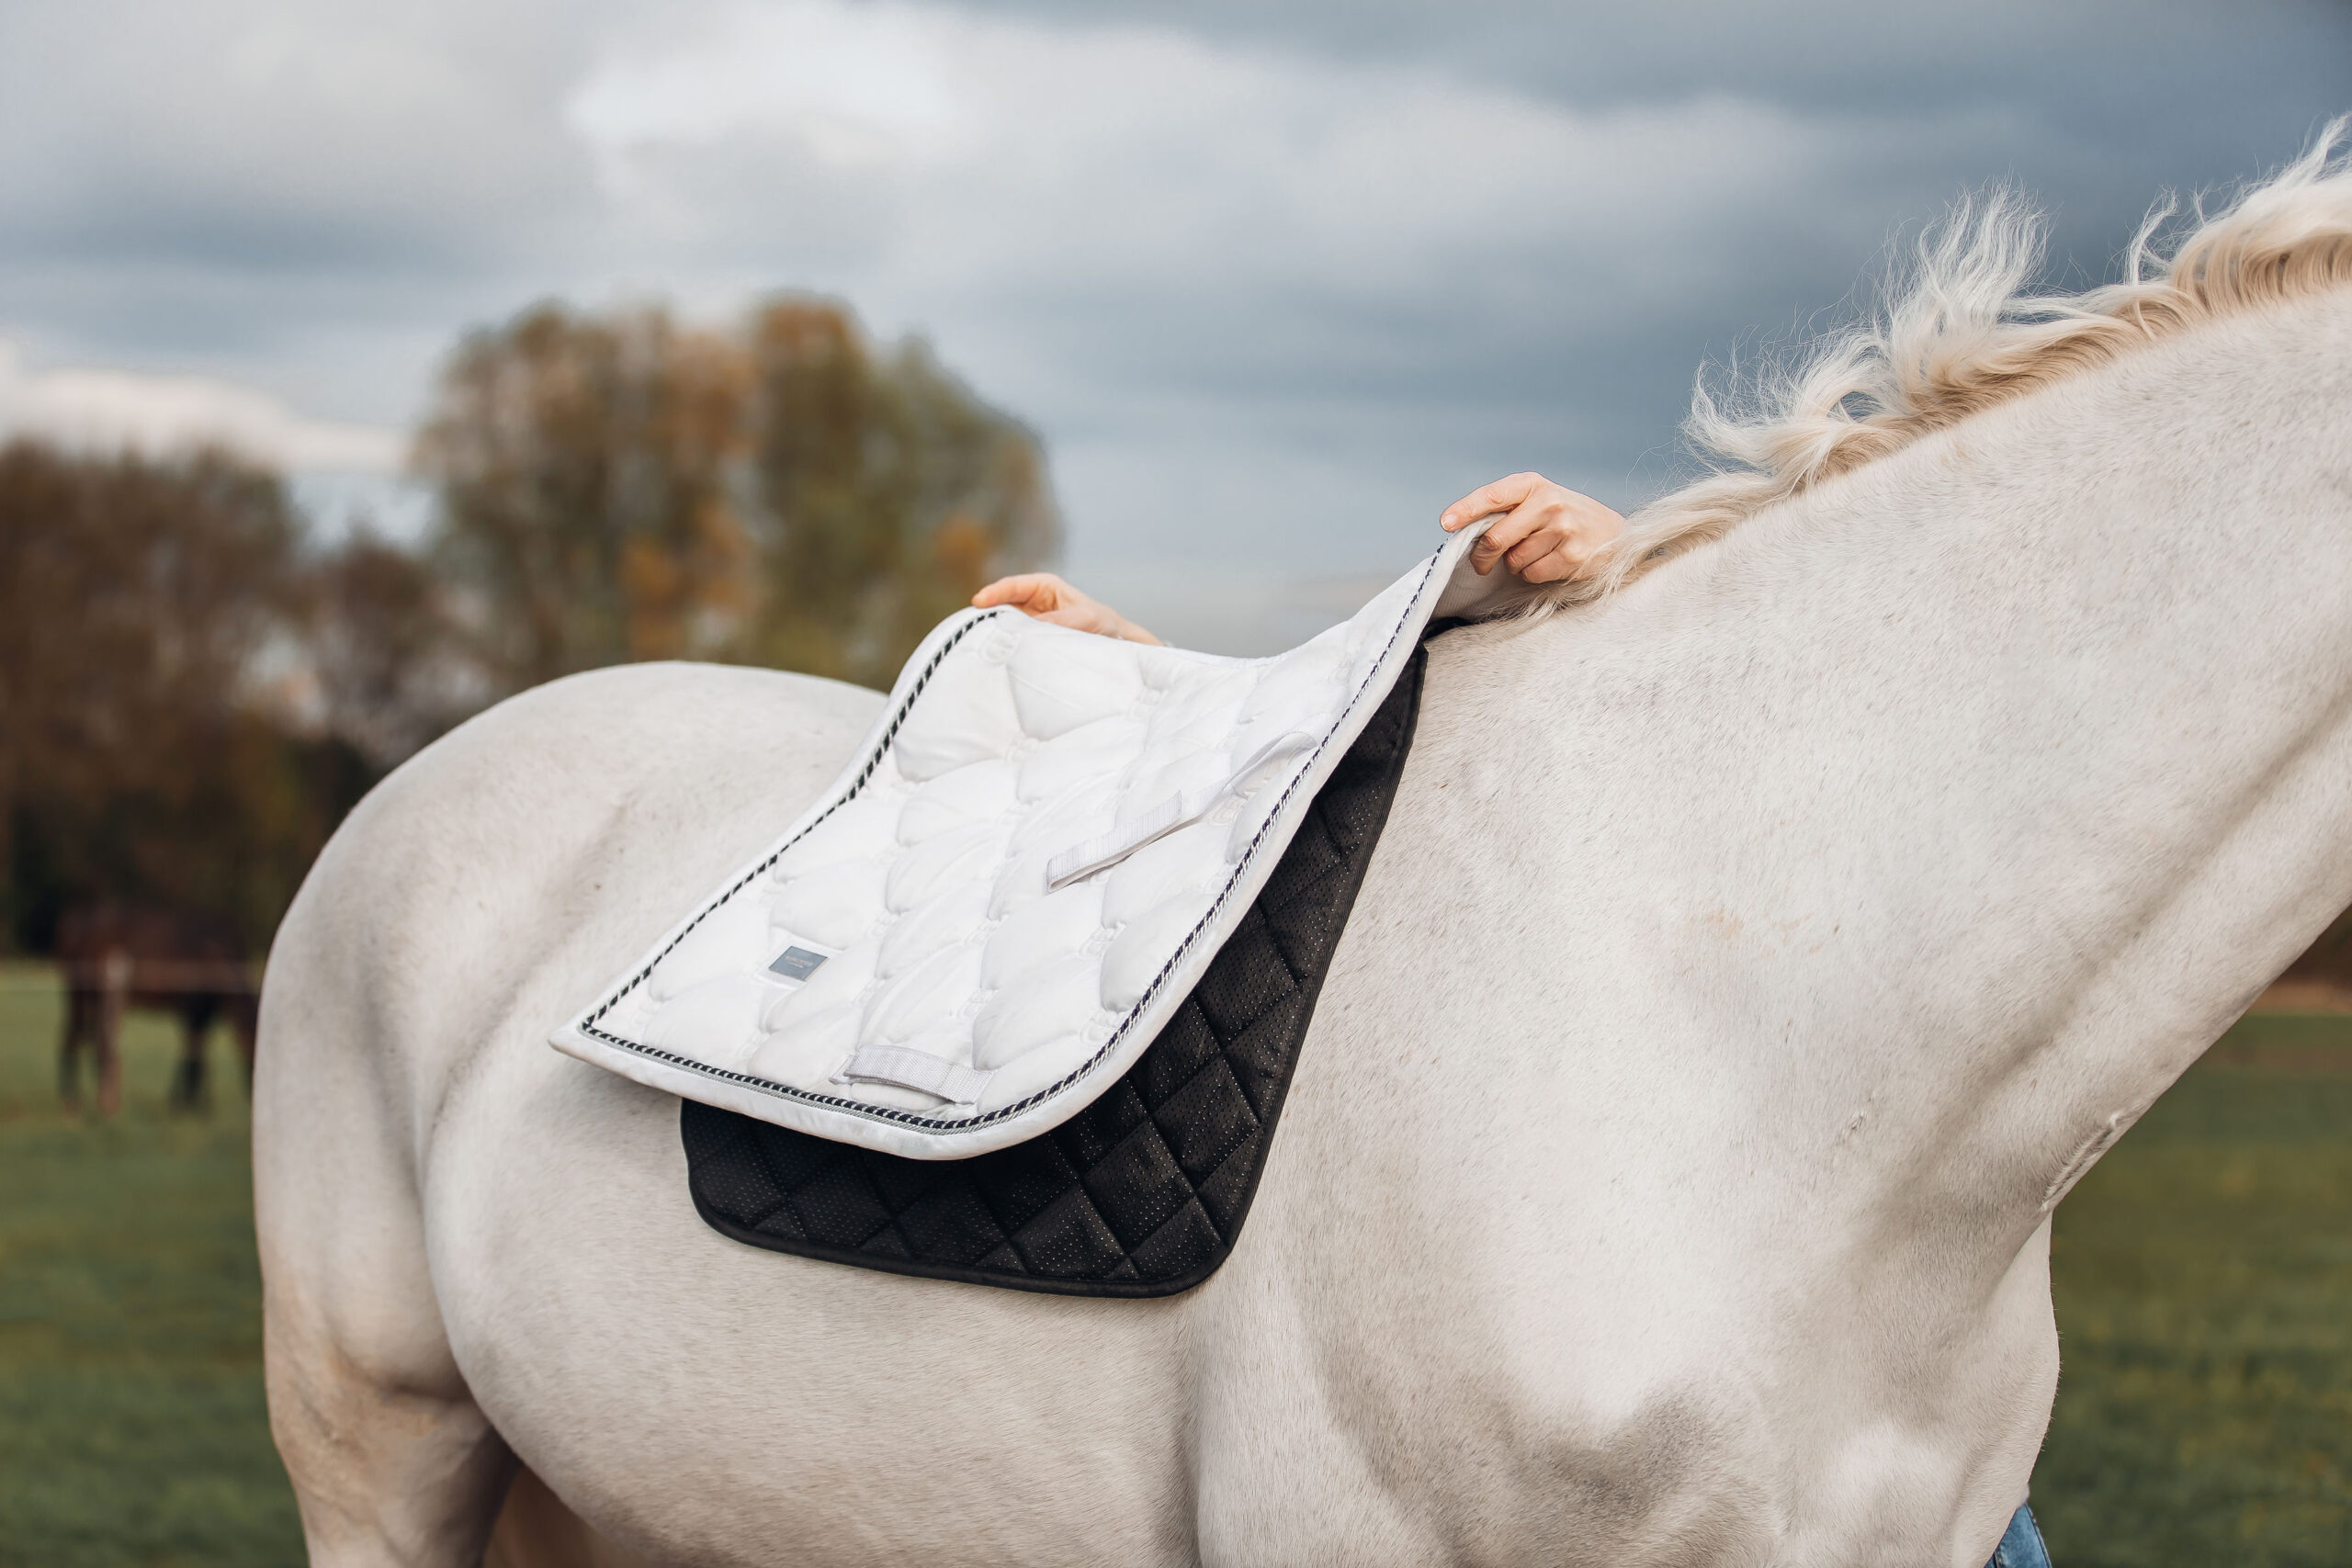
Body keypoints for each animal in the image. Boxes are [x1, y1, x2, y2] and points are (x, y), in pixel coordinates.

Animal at [55, 900, 258, 1116]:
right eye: (253, 1048)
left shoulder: (205, 1012)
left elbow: (198, 1051)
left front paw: (196, 1104)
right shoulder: (192, 1008)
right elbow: (192, 1054)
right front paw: (184, 1104)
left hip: (93, 999)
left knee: (89, 1039)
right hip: (81, 994)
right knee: (73, 1037)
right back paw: (73, 1101)